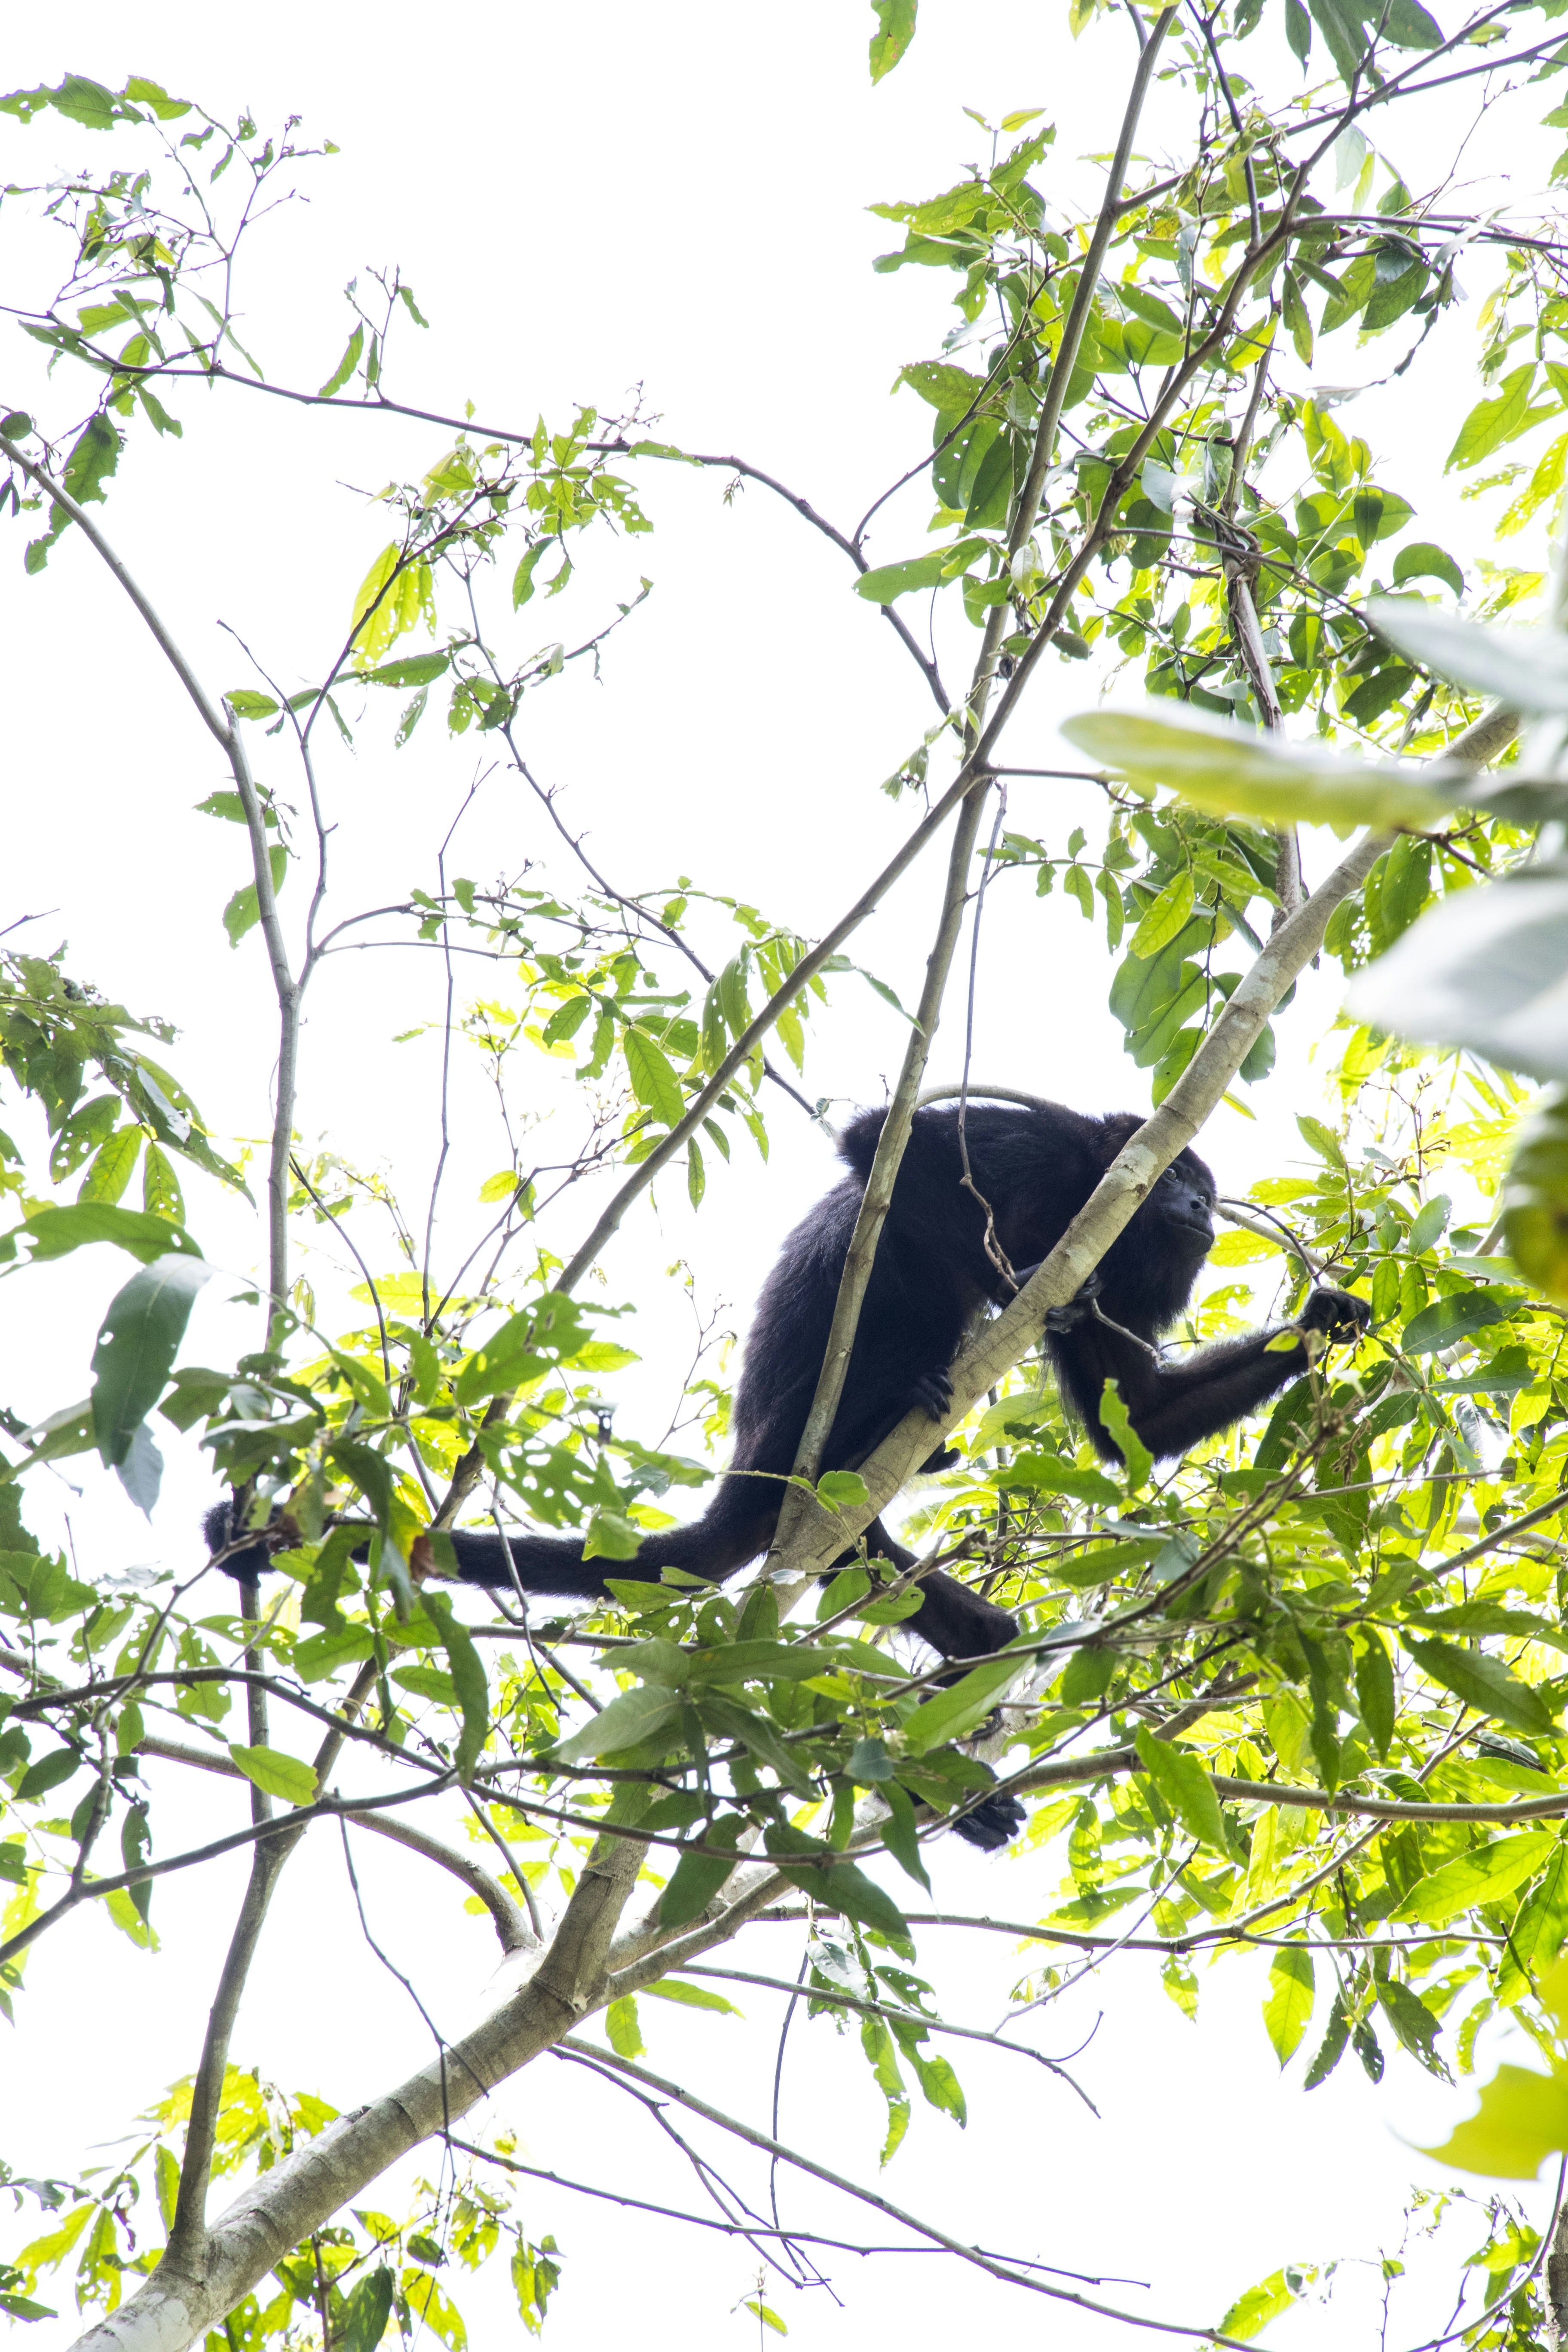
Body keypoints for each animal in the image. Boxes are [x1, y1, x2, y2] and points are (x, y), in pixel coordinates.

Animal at [204, 1099, 1369, 1848]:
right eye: (1184, 1180)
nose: (1202, 1209)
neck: (1090, 1203)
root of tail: (761, 1475)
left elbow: (1143, 1425)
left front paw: (1327, 1319)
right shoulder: (1041, 1155)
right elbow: (885, 1152)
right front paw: (1019, 1277)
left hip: (851, 1538)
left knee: (987, 1634)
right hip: (803, 1438)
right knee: (891, 1256)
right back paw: (908, 1400)